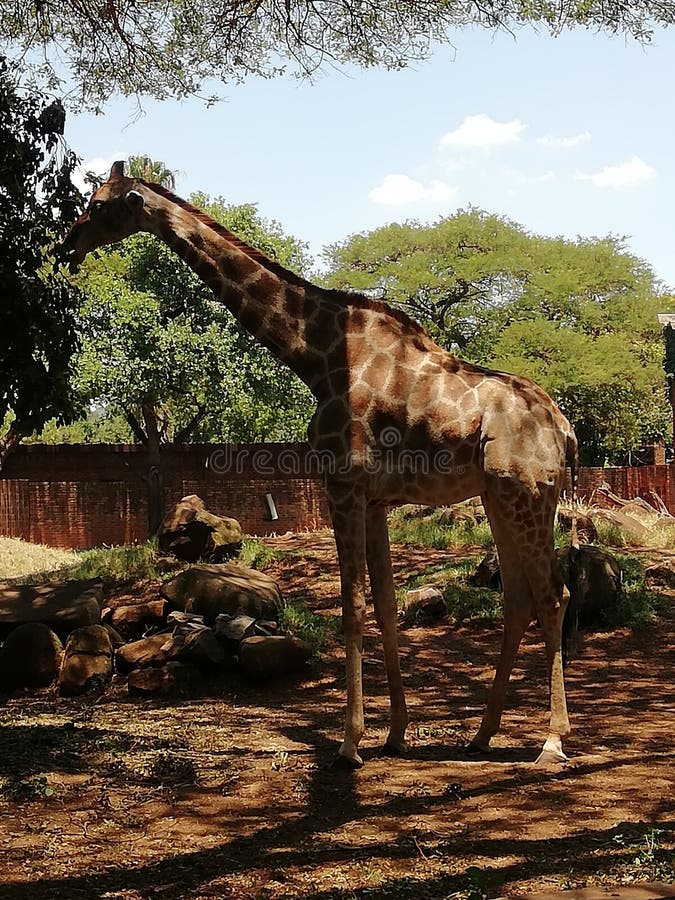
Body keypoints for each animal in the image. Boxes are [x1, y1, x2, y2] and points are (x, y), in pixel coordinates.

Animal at [61, 161, 579, 768]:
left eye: (99, 205)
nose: (68, 243)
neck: (315, 355)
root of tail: (564, 431)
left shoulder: (342, 484)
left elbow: (351, 606)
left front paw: (350, 745)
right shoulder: (375, 498)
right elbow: (384, 605)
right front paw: (394, 733)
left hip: (528, 494)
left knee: (553, 595)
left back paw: (550, 742)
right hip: (500, 498)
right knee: (519, 597)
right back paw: (481, 735)